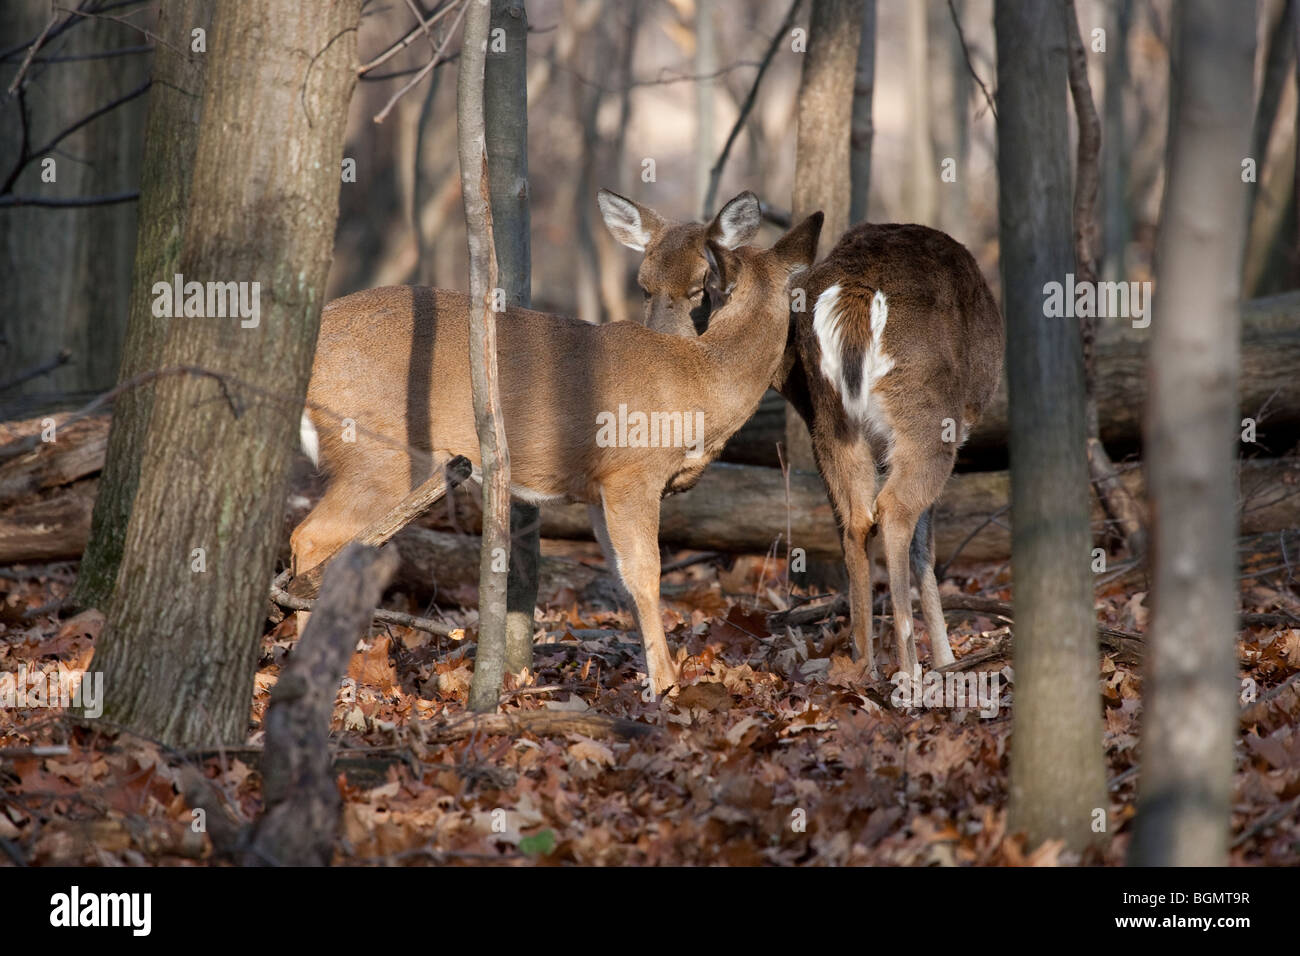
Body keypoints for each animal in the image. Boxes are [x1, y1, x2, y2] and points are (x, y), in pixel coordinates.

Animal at [290, 197, 823, 696]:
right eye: (648, 287)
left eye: (699, 287)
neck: (701, 382)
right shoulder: (631, 474)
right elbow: (645, 573)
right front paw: (666, 685)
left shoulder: (597, 490)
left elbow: (622, 578)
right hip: (380, 455)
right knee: (310, 538)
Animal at [598, 188, 1004, 681]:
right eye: (644, 286)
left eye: (699, 287)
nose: (660, 349)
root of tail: (857, 291)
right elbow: (926, 548)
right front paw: (946, 659)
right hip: (927, 417)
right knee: (892, 511)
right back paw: (908, 669)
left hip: (833, 423)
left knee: (855, 518)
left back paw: (863, 666)